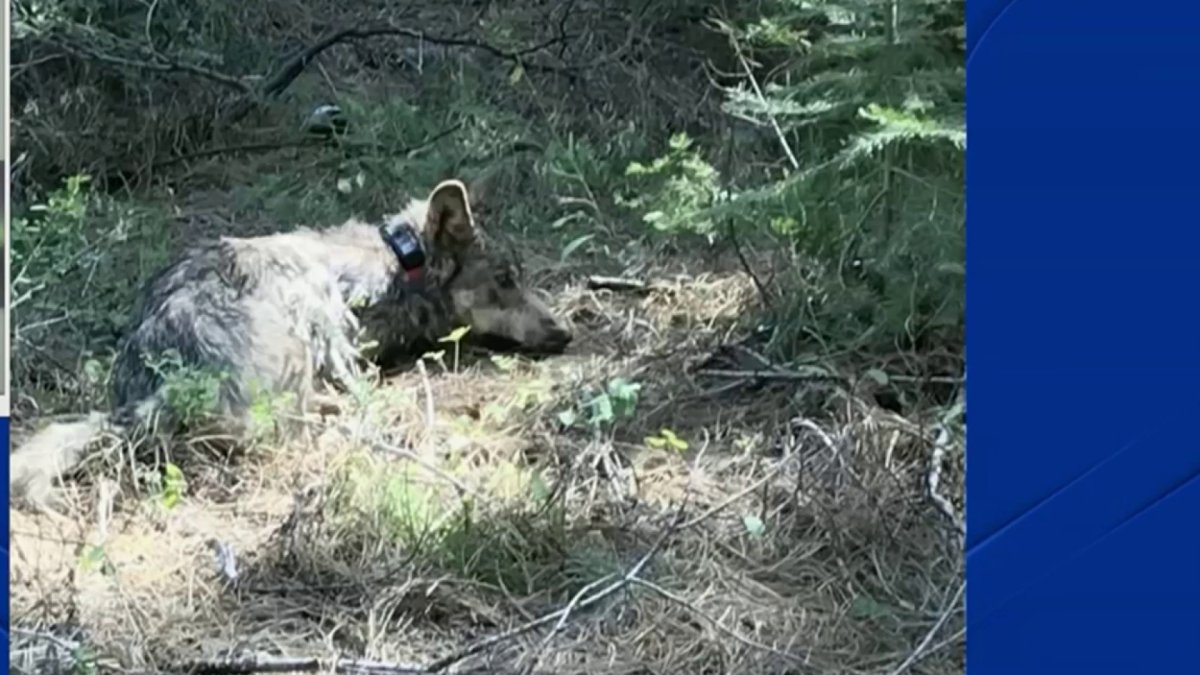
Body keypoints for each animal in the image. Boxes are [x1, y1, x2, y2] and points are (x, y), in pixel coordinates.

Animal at [9, 179, 573, 509]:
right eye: (505, 280)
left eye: (521, 277)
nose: (567, 333)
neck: (395, 263)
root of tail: (160, 384)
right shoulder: (338, 334)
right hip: (298, 316)